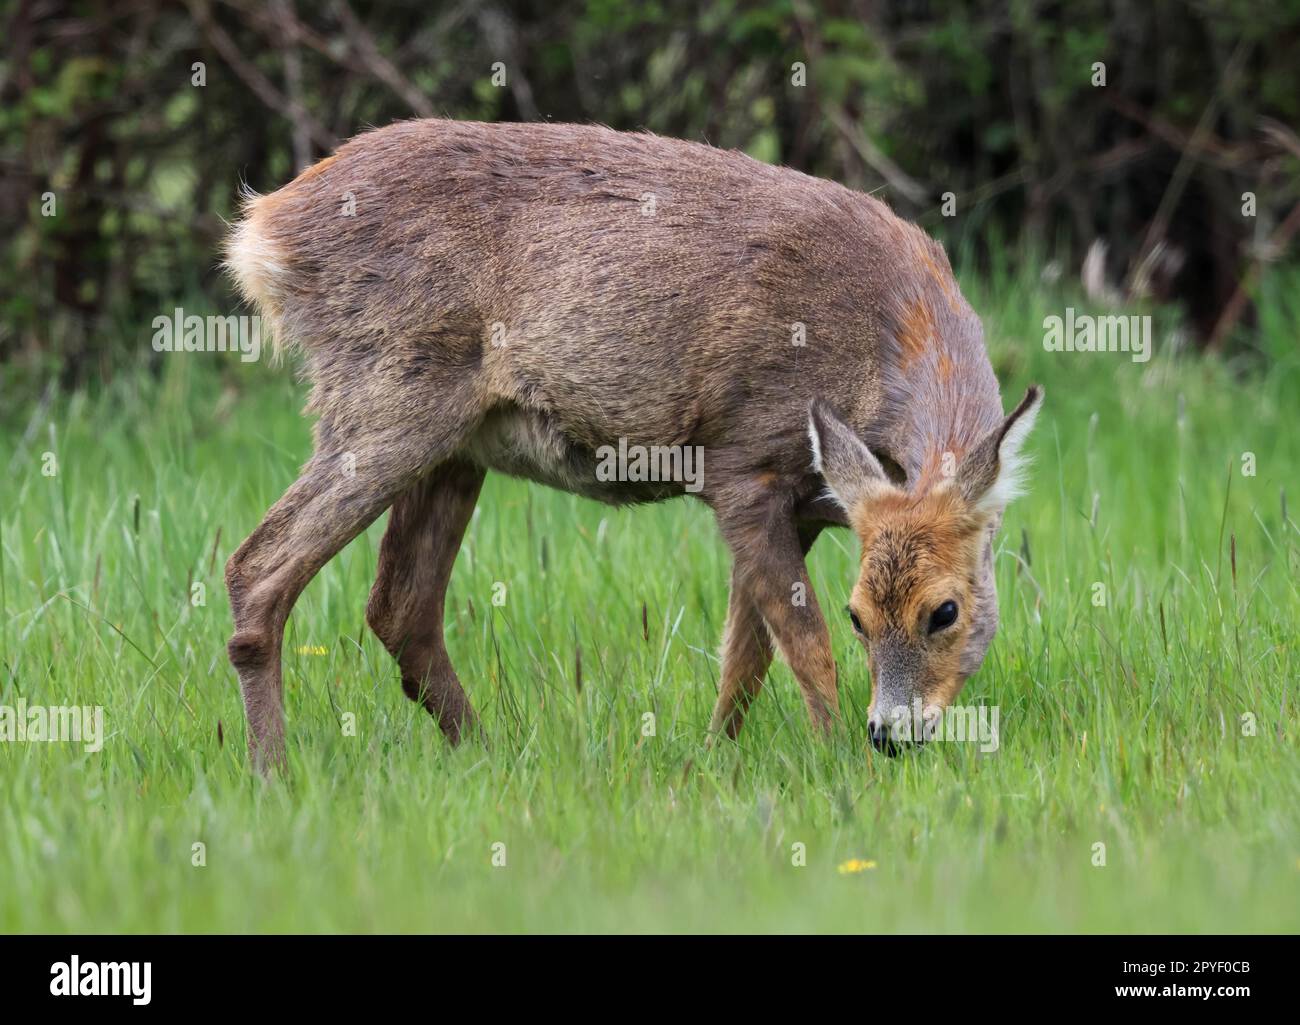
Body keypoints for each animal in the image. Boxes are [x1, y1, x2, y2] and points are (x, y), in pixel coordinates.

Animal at [223, 118, 1042, 773]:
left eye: (944, 611)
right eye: (859, 615)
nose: (891, 736)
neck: (889, 335)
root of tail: (264, 230)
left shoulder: (805, 501)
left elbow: (744, 654)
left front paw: (713, 759)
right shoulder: (744, 460)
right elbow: (803, 647)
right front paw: (836, 767)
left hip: (453, 444)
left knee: (400, 605)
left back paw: (489, 755)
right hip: (386, 395)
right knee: (257, 567)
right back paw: (275, 773)